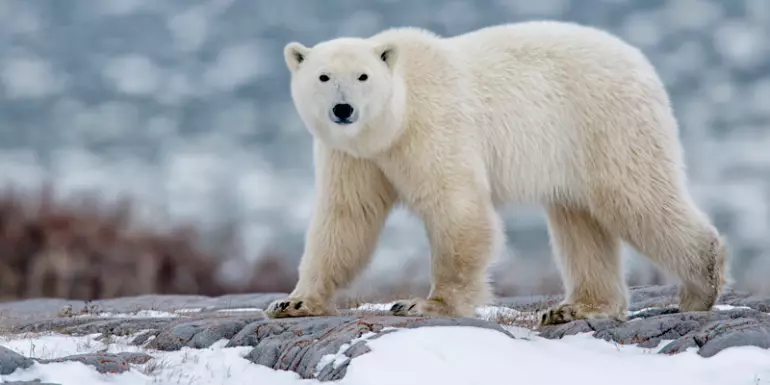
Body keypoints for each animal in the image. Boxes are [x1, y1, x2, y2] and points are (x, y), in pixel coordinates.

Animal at [264, 20, 728, 324]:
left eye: (362, 76)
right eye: (323, 76)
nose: (343, 110)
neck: (394, 121)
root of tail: (641, 62)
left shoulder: (433, 126)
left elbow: (456, 208)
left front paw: (424, 304)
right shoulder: (353, 156)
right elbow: (346, 218)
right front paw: (294, 302)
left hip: (606, 122)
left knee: (636, 197)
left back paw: (700, 287)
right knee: (580, 221)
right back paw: (575, 307)